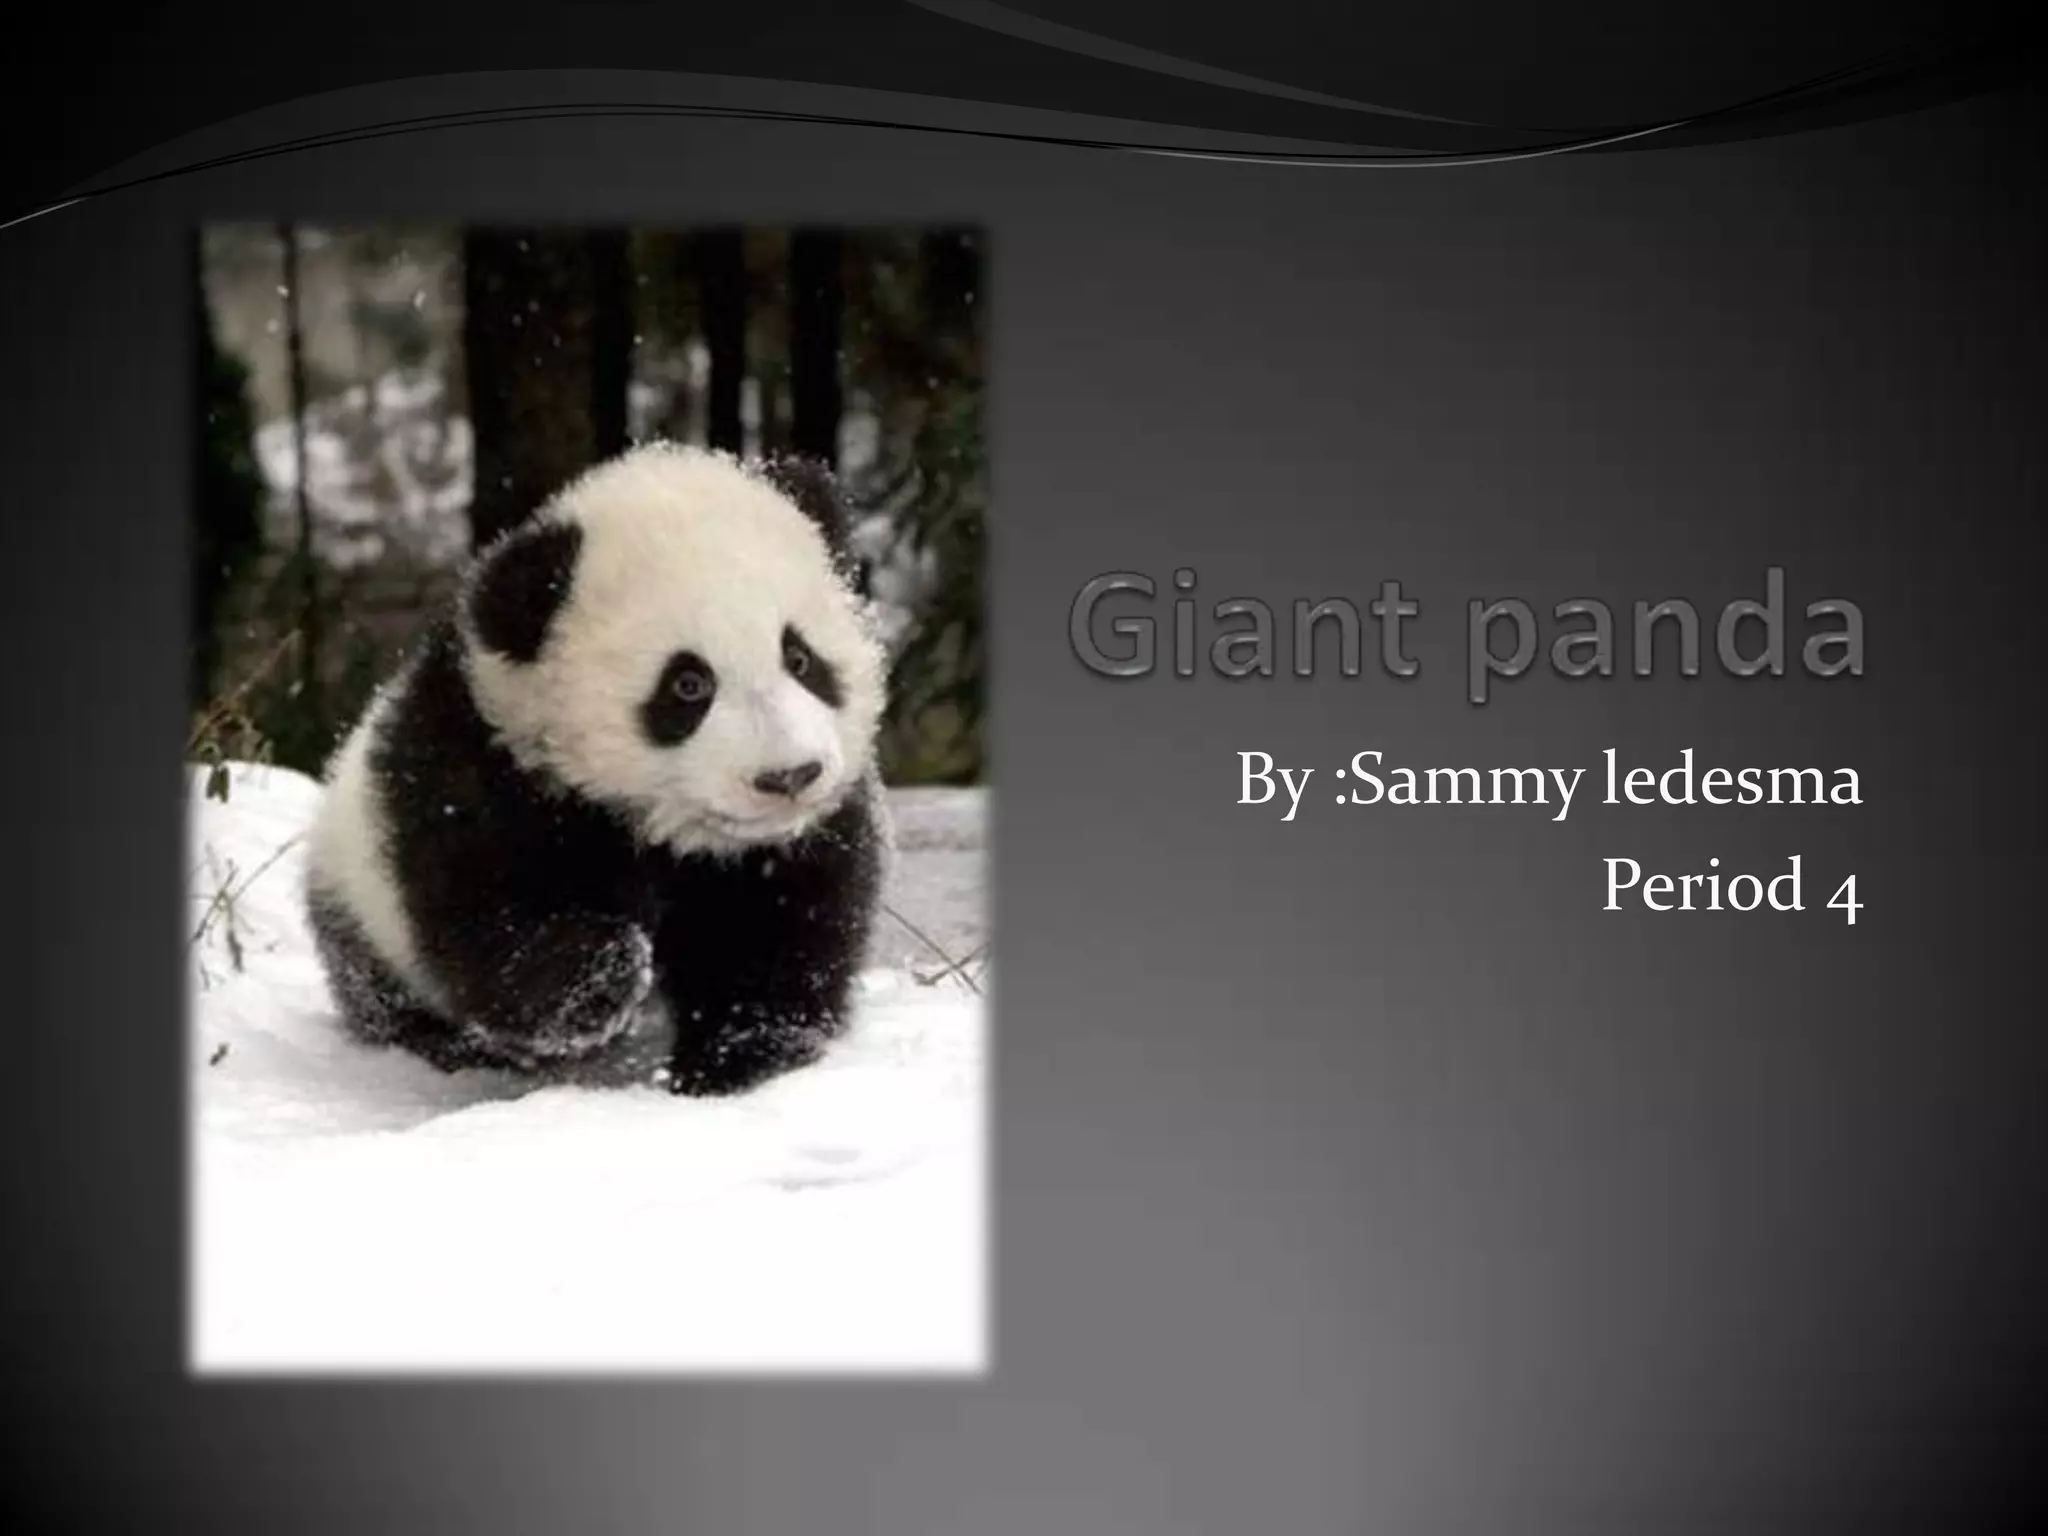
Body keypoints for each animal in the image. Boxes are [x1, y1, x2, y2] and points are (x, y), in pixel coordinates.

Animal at [301, 441, 893, 1097]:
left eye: (800, 657)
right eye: (688, 685)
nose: (788, 776)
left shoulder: (799, 838)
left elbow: (780, 927)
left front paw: (743, 1056)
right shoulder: (478, 772)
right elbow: (486, 922)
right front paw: (602, 978)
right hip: (357, 909)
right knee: (386, 996)